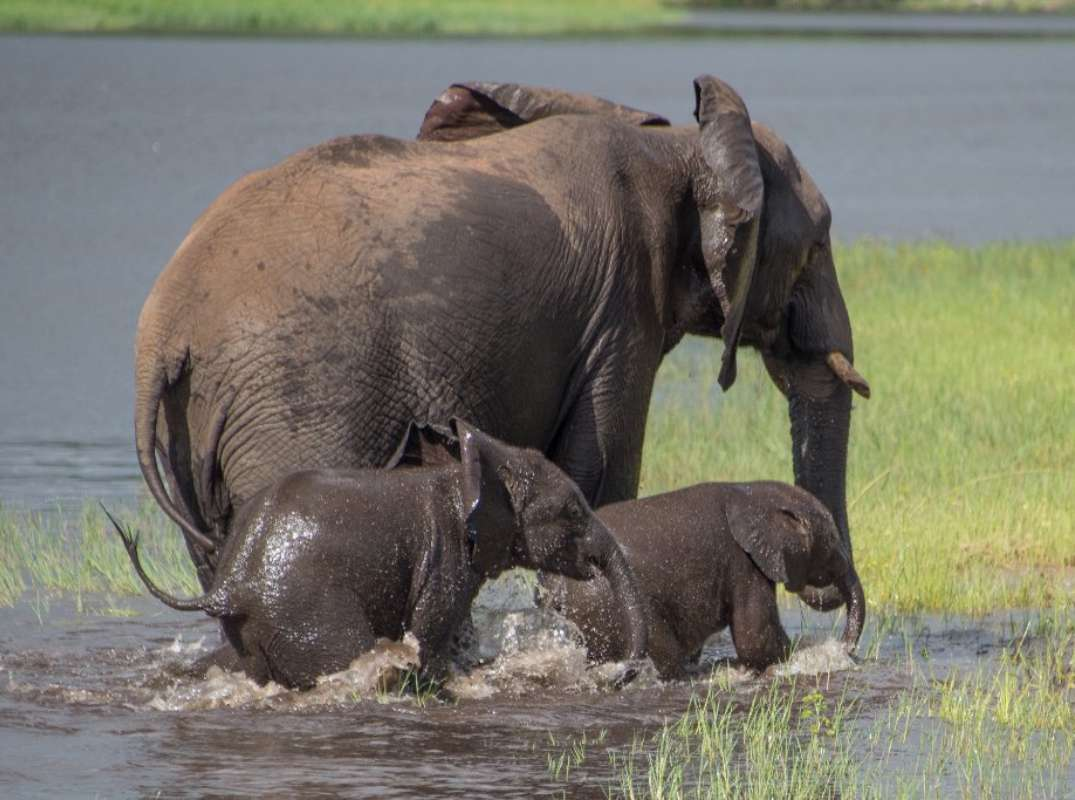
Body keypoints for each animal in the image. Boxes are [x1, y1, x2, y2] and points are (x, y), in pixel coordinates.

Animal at [106, 420, 648, 690]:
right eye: (572, 510)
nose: (621, 676)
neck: (466, 477)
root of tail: (230, 585)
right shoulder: (446, 559)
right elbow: (430, 638)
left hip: (253, 631)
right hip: (306, 611)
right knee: (345, 655)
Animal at [134, 75, 870, 615]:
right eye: (819, 243)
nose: (821, 594)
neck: (683, 144)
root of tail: (162, 333)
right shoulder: (620, 311)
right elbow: (604, 472)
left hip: (198, 426)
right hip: (301, 397)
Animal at [542, 482, 866, 678]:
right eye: (831, 542)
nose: (842, 650)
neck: (752, 491)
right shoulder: (744, 563)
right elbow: (755, 639)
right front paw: (802, 657)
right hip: (611, 605)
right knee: (667, 658)